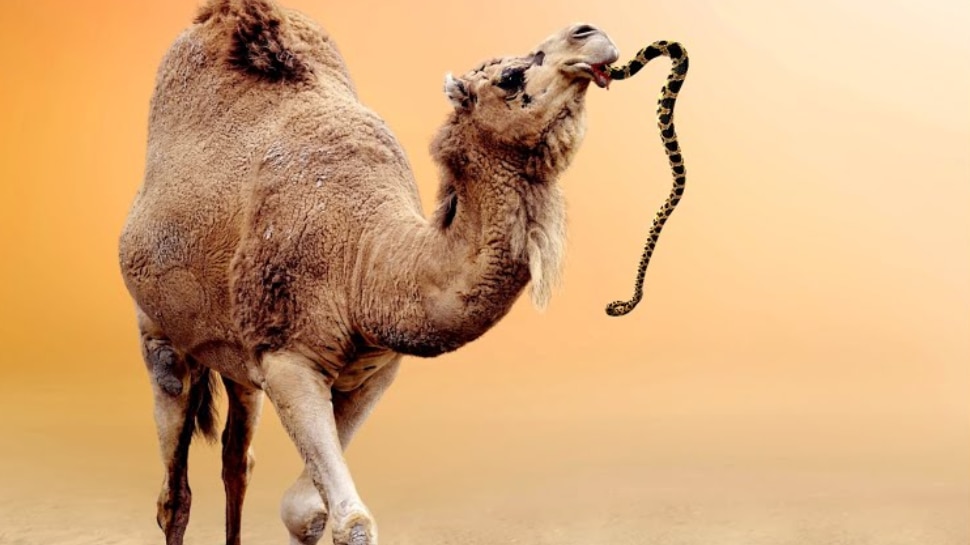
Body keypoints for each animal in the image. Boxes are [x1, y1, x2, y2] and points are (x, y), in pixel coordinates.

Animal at [118, 1, 618, 543]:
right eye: (510, 76)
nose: (590, 32)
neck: (368, 260)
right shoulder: (288, 357)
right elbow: (348, 518)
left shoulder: (373, 368)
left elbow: (305, 510)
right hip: (159, 332)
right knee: (175, 486)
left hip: (234, 347)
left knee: (236, 457)